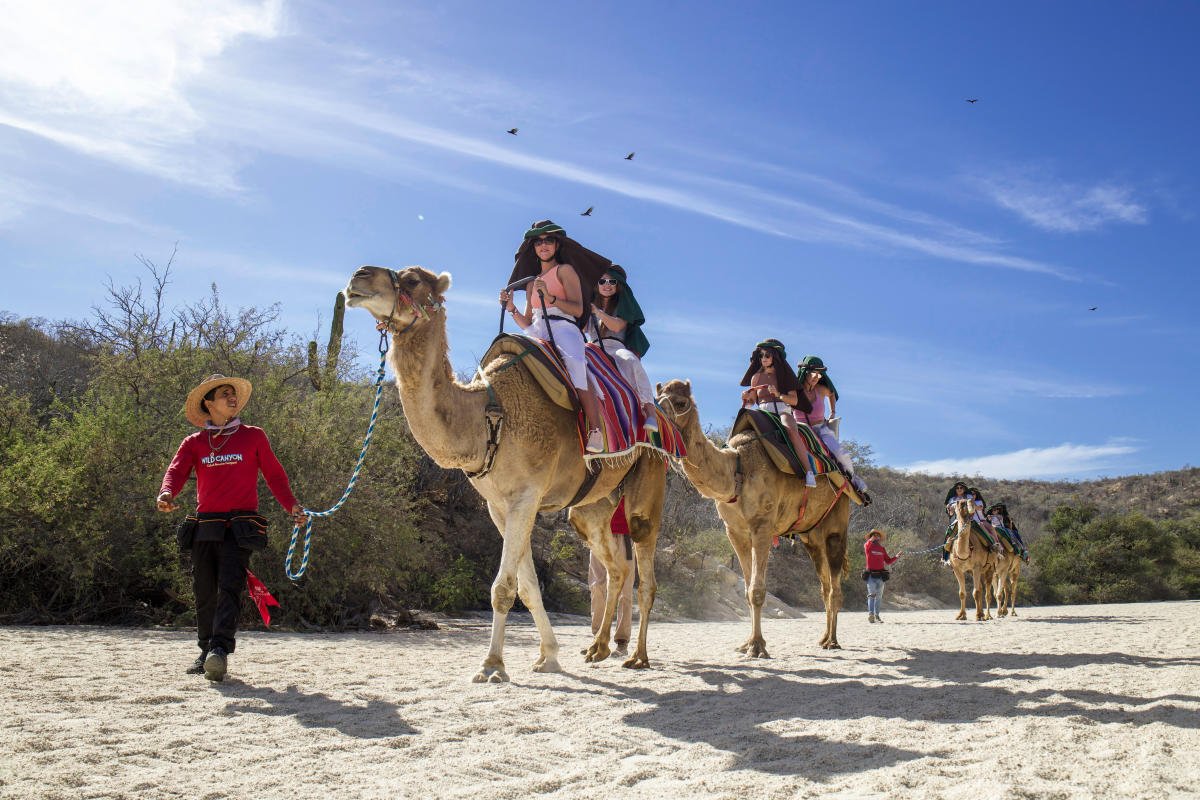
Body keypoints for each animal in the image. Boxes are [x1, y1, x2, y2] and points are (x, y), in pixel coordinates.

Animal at [344, 266, 666, 682]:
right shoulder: (498, 505)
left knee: (645, 574)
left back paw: (638, 656)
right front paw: (548, 657)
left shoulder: (525, 496)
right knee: (617, 568)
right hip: (593, 506)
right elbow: (527, 586)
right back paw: (597, 648)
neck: (488, 416)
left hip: (648, 480)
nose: (358, 277)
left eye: (412, 279)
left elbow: (503, 587)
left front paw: (492, 665)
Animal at [656, 379, 851, 653]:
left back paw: (832, 641)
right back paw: (823, 638)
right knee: (824, 586)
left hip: (837, 522)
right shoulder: (735, 530)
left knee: (835, 588)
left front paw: (757, 647)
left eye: (681, 402)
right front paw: (748, 643)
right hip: (810, 535)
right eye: (657, 397)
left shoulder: (762, 525)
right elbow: (747, 590)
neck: (737, 468)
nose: (655, 417)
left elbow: (758, 590)